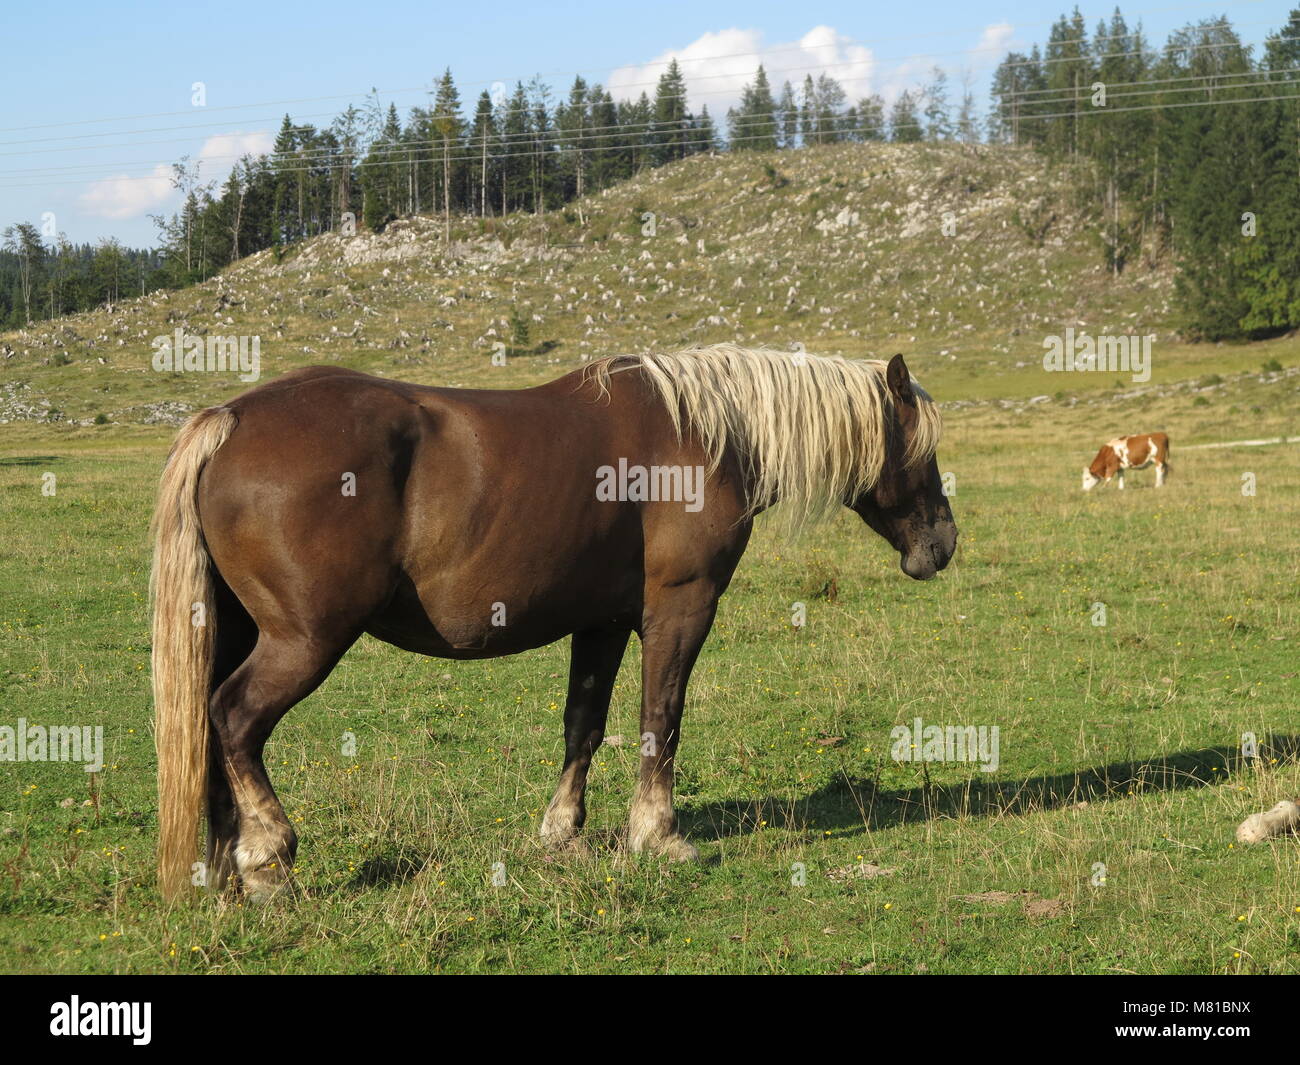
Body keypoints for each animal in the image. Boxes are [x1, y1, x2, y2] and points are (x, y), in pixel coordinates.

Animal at [151, 343, 957, 900]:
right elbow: (661, 717)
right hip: (304, 642)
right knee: (234, 719)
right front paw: (659, 835)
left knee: (209, 728)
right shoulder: (680, 608)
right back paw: (268, 860)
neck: (700, 436)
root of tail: (230, 421)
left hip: (236, 630)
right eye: (920, 448)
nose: (942, 545)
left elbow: (585, 725)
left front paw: (562, 835)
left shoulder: (601, 622)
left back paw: (226, 870)